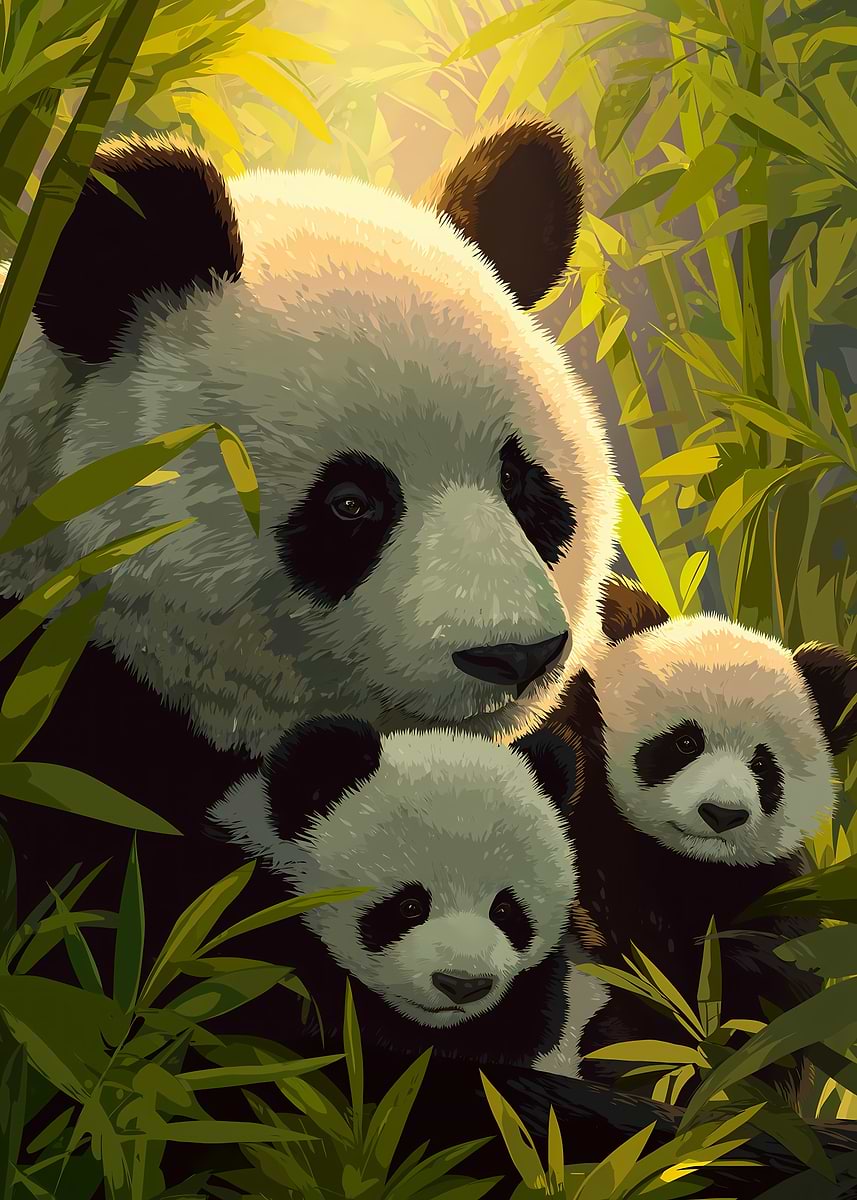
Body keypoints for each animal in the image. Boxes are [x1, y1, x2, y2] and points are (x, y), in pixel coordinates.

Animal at [548, 612, 857, 1101]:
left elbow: (769, 996)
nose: (722, 813)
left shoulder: (767, 888)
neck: (685, 862)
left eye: (763, 765)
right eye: (686, 742)